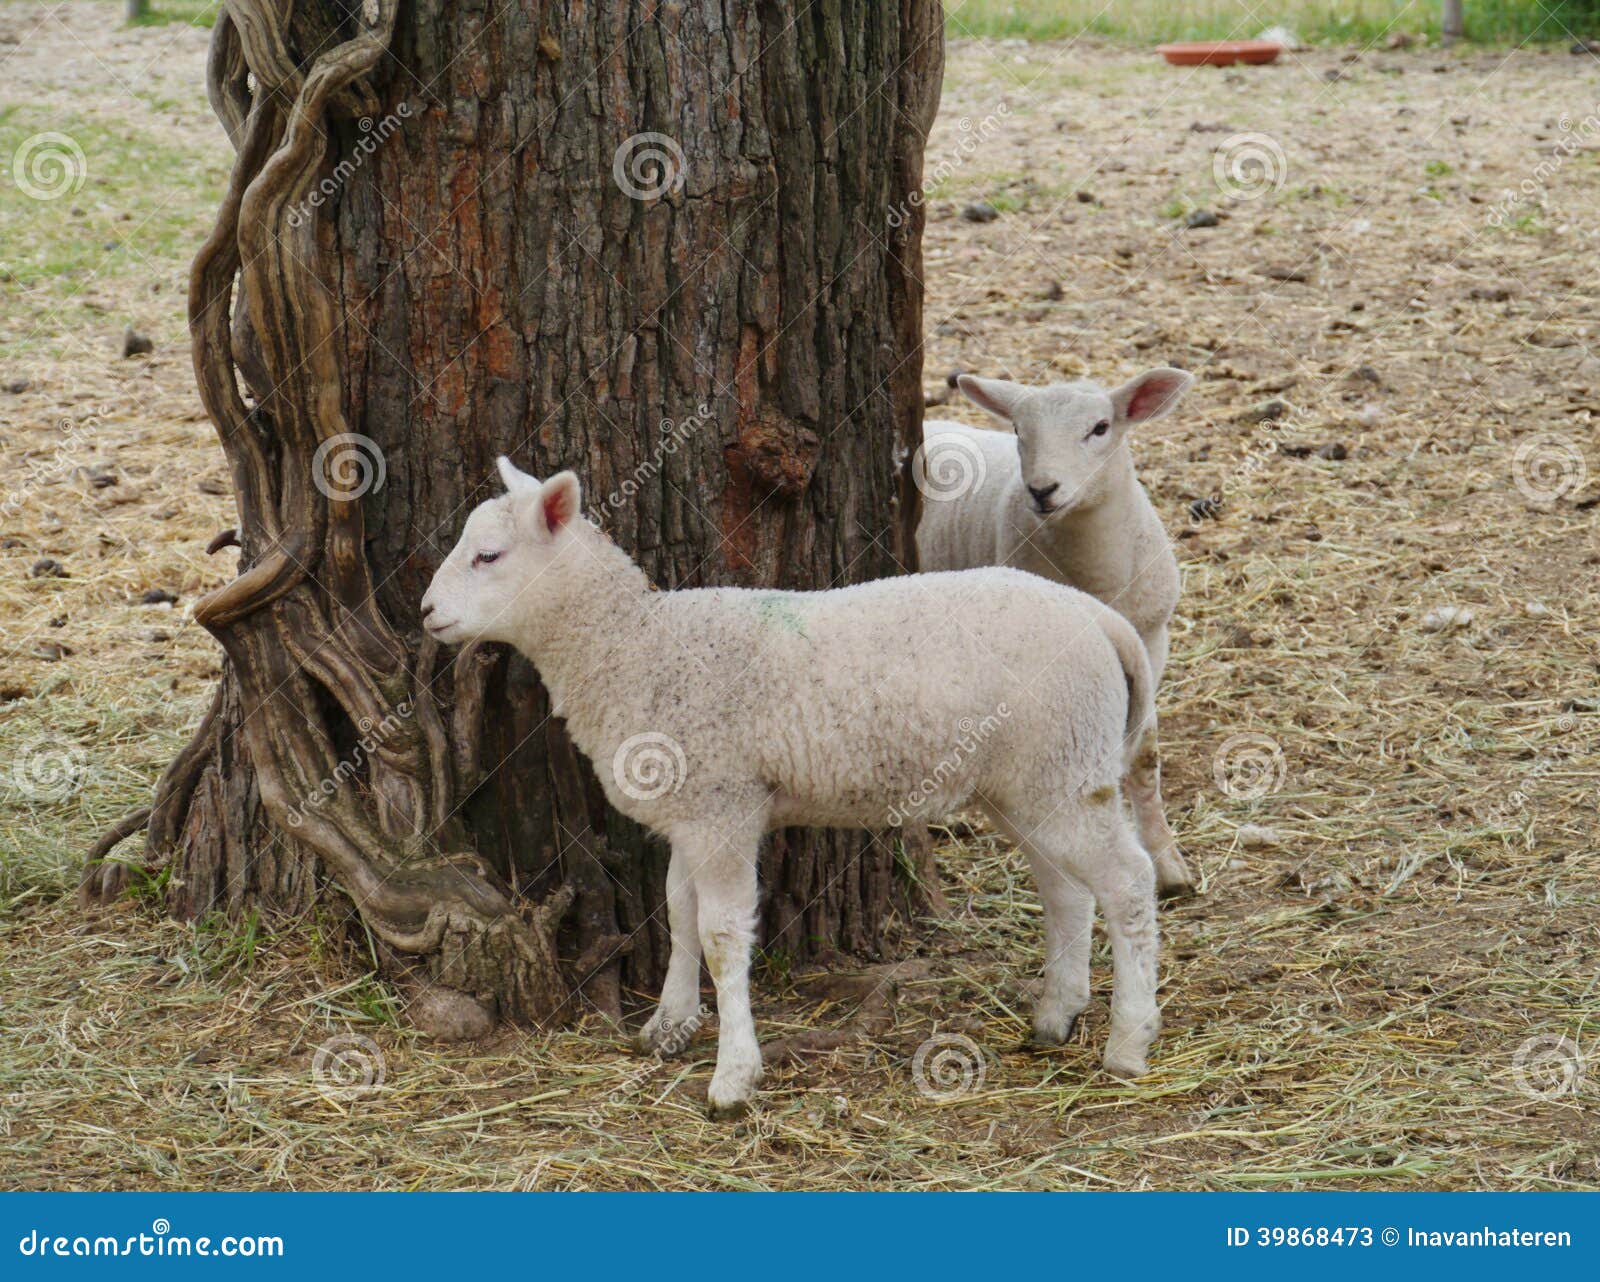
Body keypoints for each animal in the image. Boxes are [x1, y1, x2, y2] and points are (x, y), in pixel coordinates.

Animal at [421, 457, 1168, 1118]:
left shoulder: (723, 807)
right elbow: (677, 911)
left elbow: (722, 935)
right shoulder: (695, 809)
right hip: (1031, 777)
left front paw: (732, 1074)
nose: (427, 611)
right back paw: (1056, 1015)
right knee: (1067, 889)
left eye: (487, 556)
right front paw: (669, 1025)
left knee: (1128, 883)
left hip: (1065, 761)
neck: (635, 647)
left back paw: (1130, 1041)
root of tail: (1101, 621)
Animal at [916, 368, 1197, 899]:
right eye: (1019, 431)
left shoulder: (1152, 640)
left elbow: (1145, 755)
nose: (1043, 489)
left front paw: (1169, 865)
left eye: (1100, 428)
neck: (1098, 572)